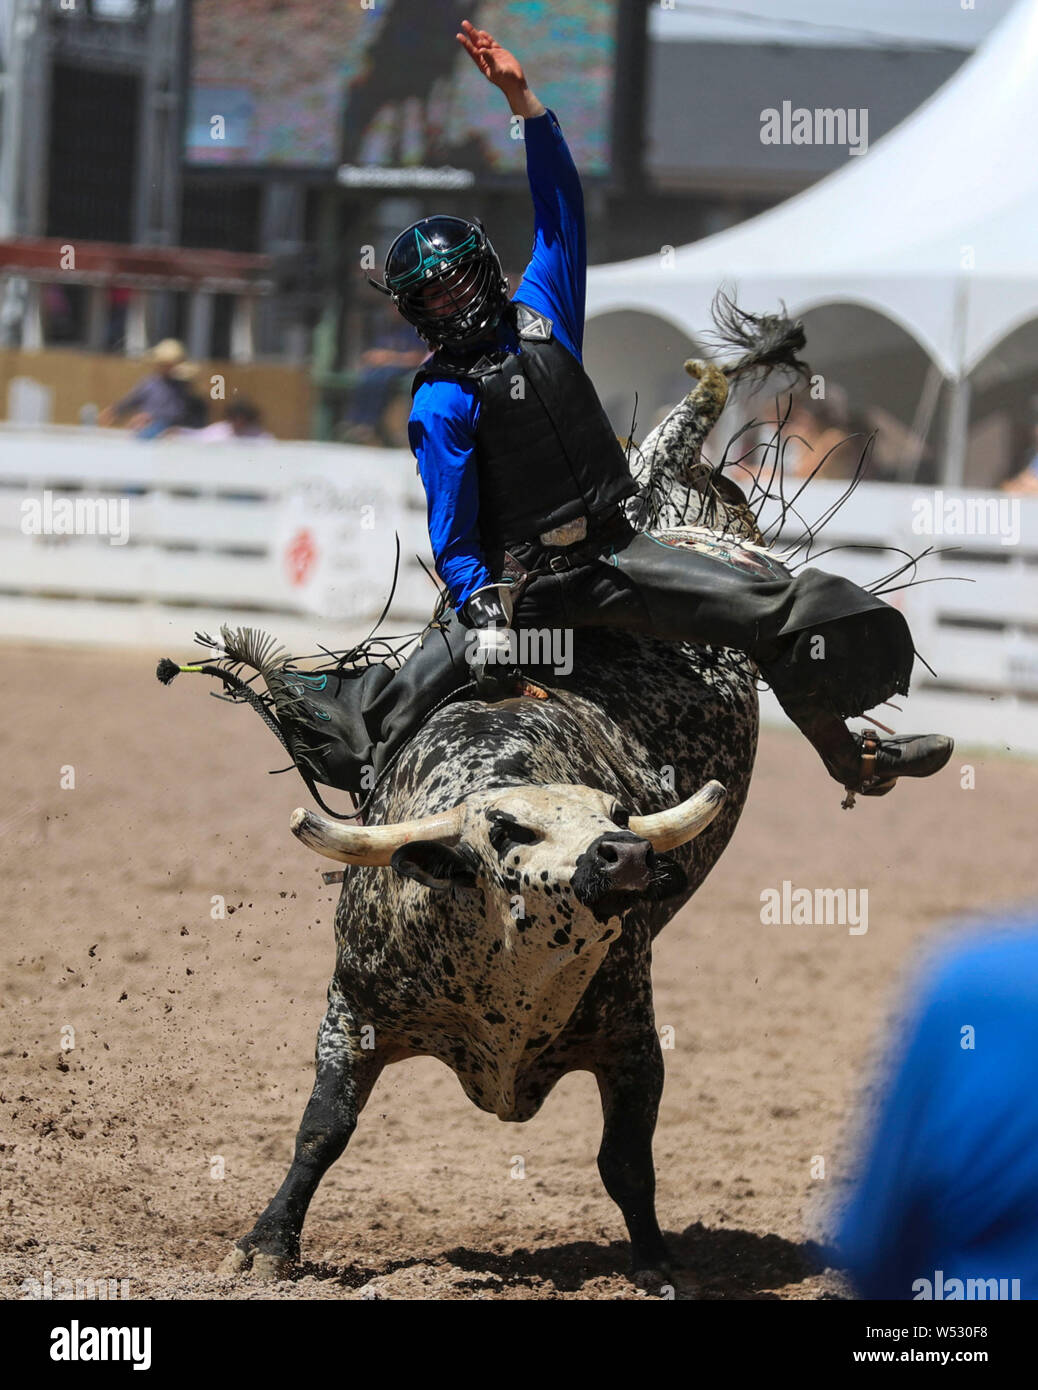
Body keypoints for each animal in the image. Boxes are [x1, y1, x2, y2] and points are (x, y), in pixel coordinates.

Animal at [220, 359, 765, 1286]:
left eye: (617, 810)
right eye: (508, 831)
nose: (624, 854)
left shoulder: (633, 1030)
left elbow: (627, 1161)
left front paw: (656, 1262)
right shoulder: (353, 1007)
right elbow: (323, 1130)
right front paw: (267, 1244)